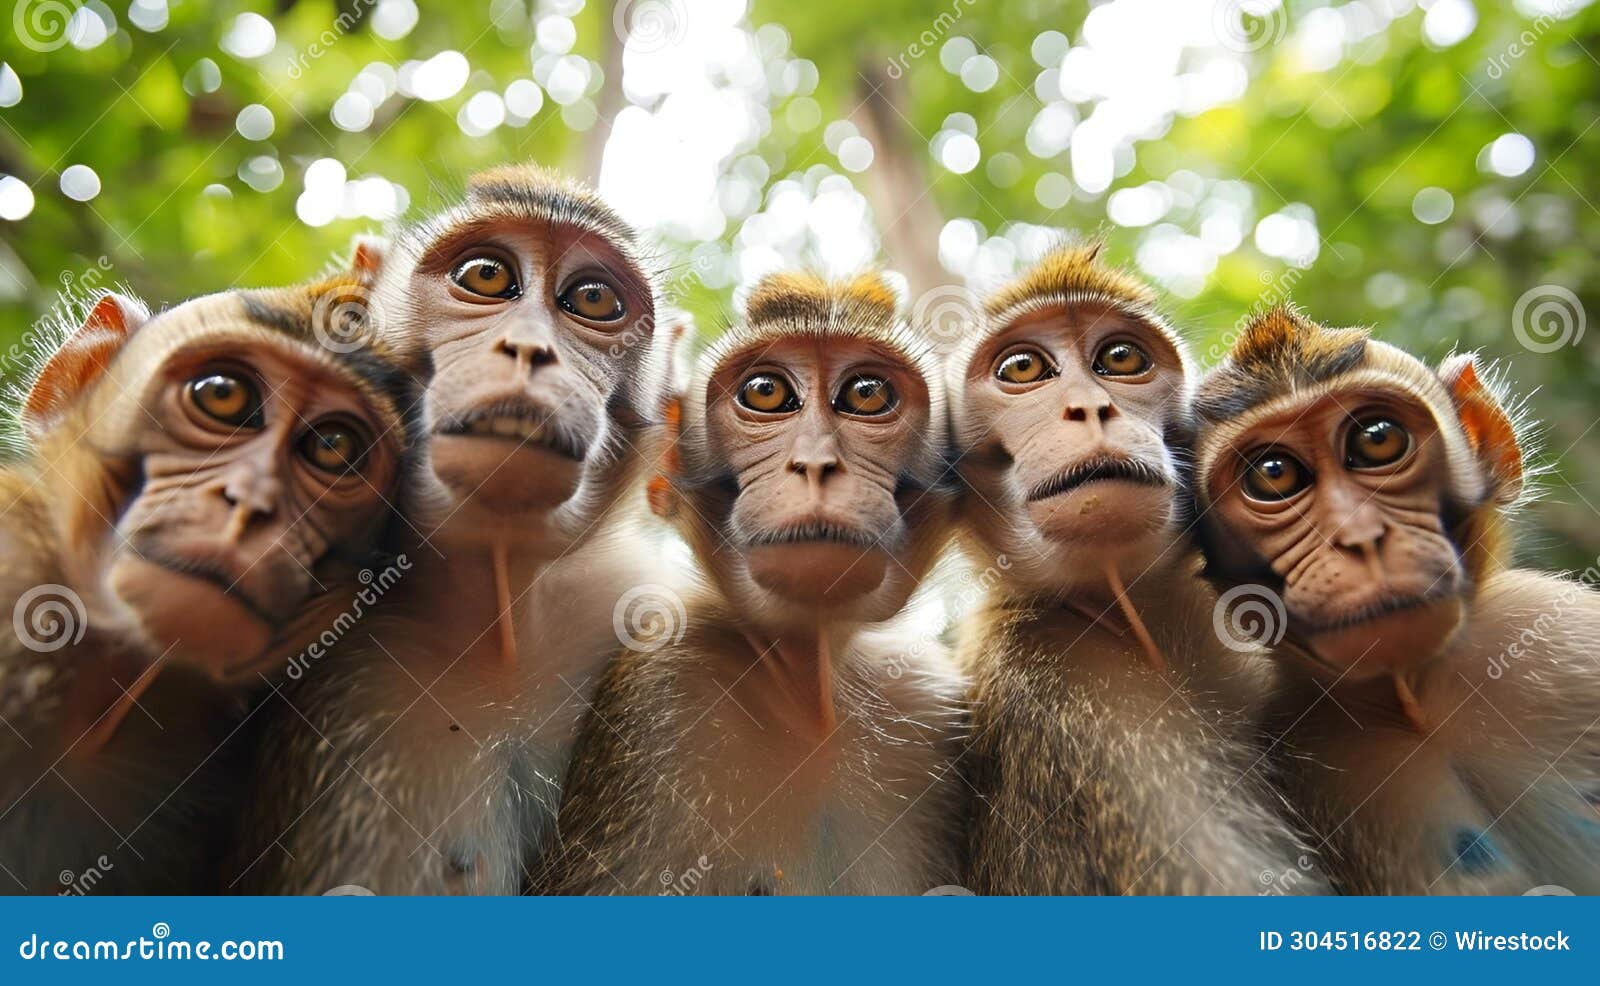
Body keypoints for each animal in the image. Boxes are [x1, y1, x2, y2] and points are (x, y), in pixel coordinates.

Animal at [537, 270, 967, 896]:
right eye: (765, 392)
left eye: (866, 394)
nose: (815, 464)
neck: (811, 698)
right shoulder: (666, 689)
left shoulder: (927, 701)